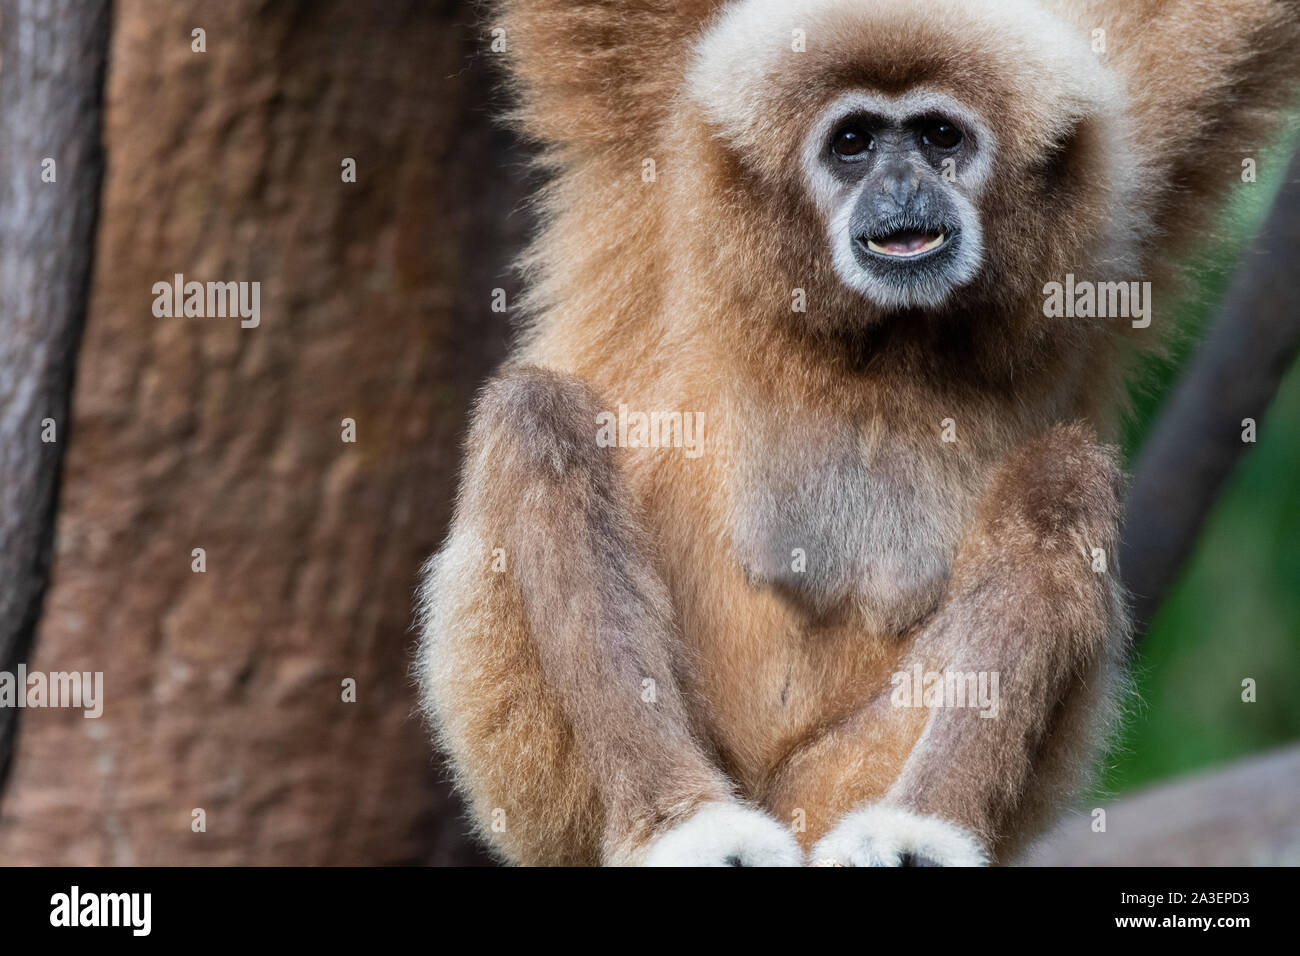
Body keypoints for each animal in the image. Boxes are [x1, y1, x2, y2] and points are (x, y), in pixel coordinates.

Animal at [416, 0, 1300, 865]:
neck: (874, 338)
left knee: (1065, 477)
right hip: (535, 780)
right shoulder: (657, 146)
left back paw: (919, 831)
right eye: (854, 142)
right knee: (536, 417)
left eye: (940, 136)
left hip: (832, 788)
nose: (902, 183)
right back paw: (686, 828)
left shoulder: (1117, 190)